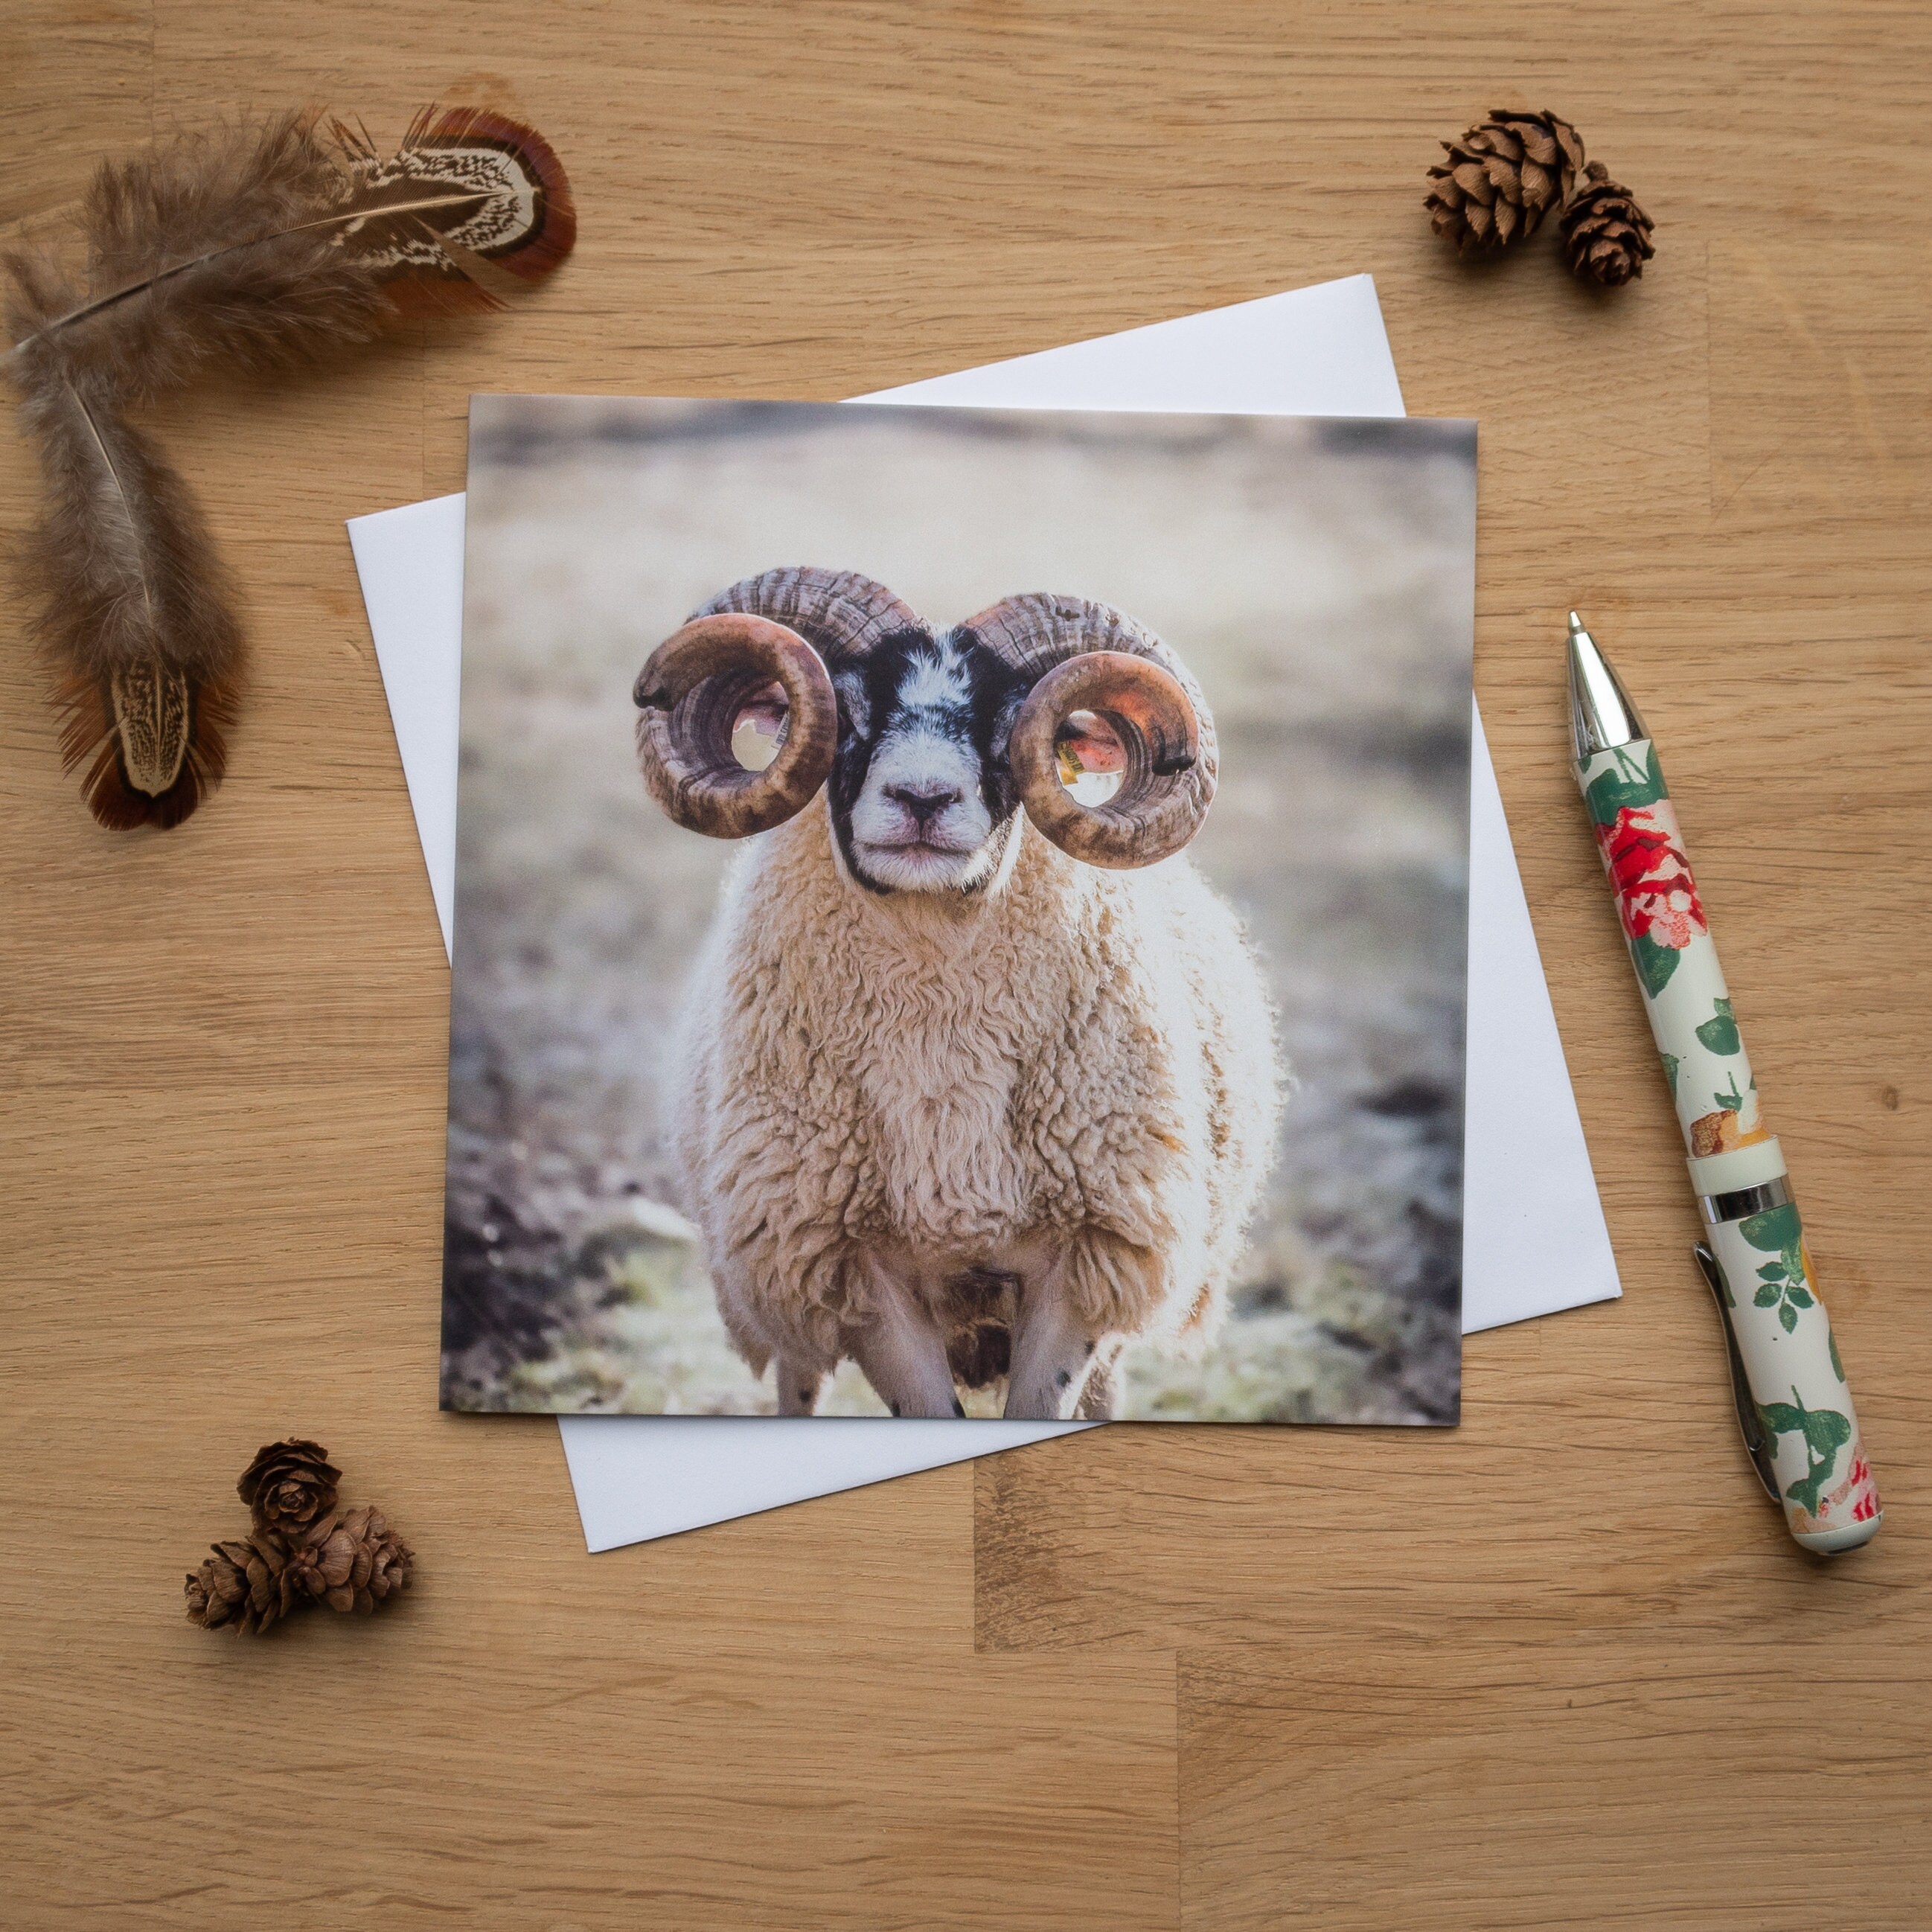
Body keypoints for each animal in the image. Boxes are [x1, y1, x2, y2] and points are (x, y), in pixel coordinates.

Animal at [633, 567, 1283, 1420]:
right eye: (847, 712)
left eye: (1010, 728)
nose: (922, 798)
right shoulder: (855, 1274)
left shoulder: (1083, 1266)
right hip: (780, 1279)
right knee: (796, 1383)